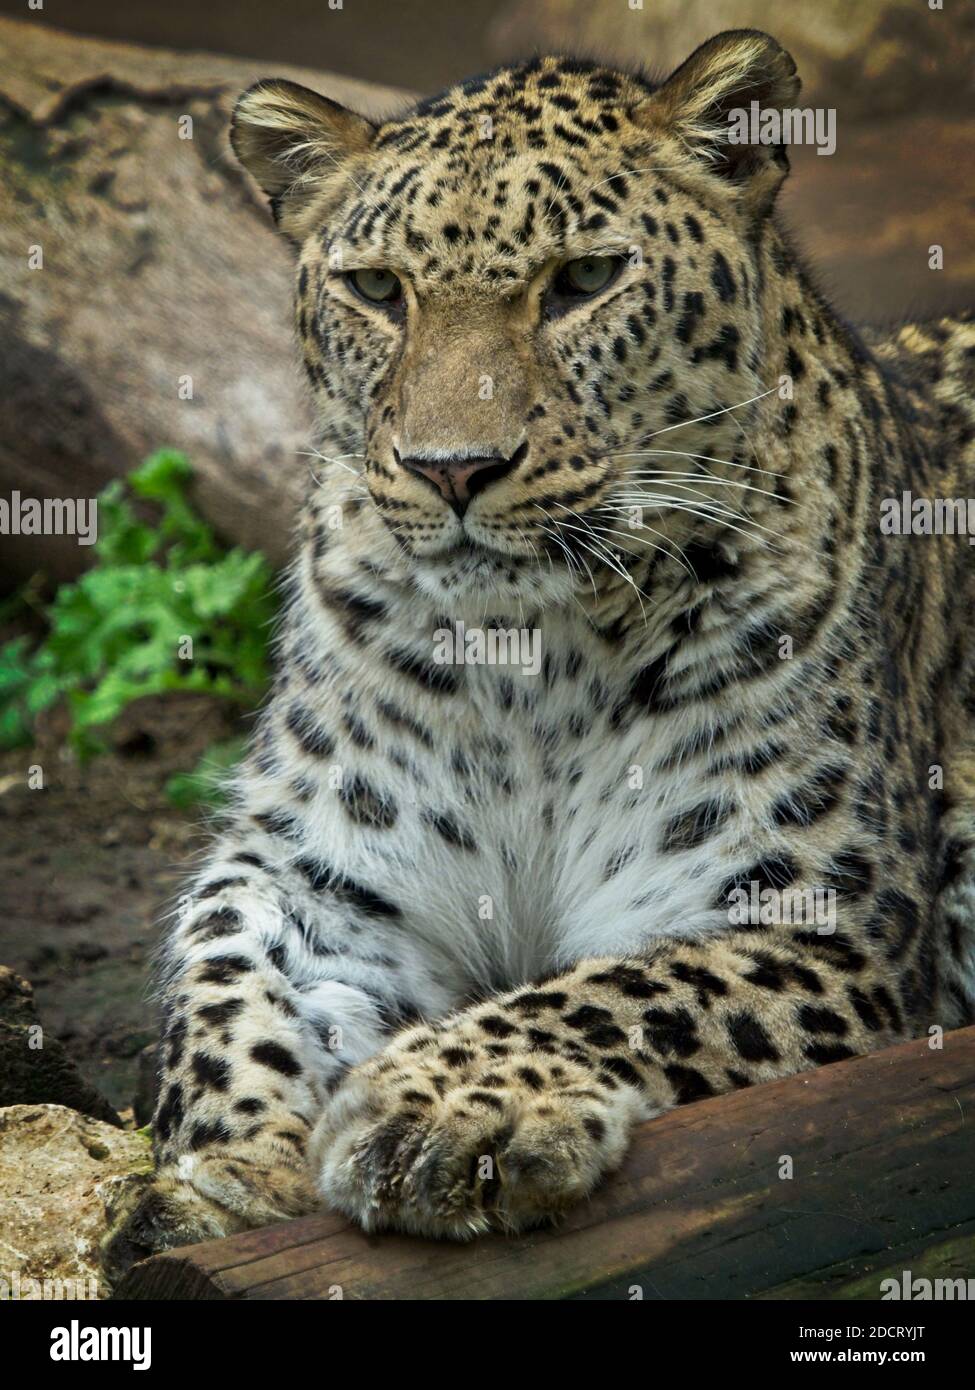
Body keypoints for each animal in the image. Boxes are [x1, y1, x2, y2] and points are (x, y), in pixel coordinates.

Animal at [103, 29, 975, 1279]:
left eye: (582, 280)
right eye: (378, 289)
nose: (452, 468)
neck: (535, 667)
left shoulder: (819, 911)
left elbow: (625, 989)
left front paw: (439, 1108)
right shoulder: (318, 871)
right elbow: (228, 983)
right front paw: (229, 1174)